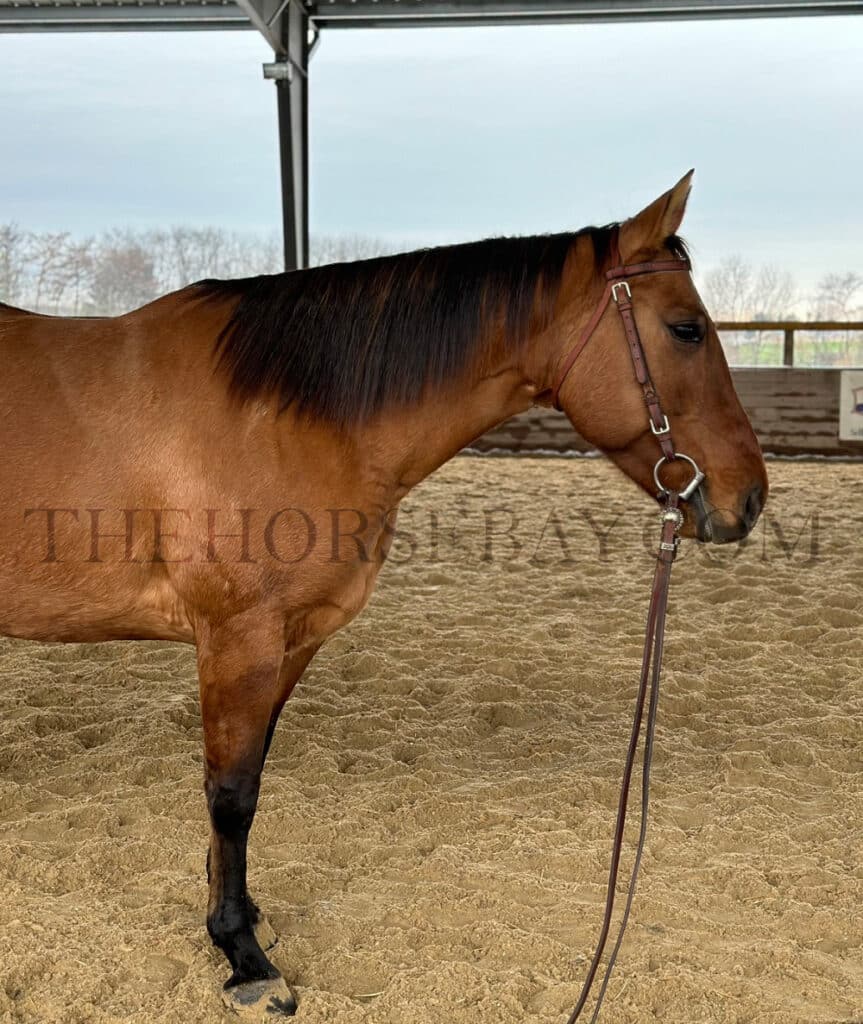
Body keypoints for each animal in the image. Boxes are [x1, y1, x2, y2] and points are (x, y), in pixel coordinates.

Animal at [0, 171, 767, 1019]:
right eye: (686, 329)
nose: (749, 498)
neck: (283, 412)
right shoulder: (240, 639)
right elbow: (231, 793)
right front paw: (242, 956)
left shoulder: (292, 641)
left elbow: (249, 779)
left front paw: (241, 916)